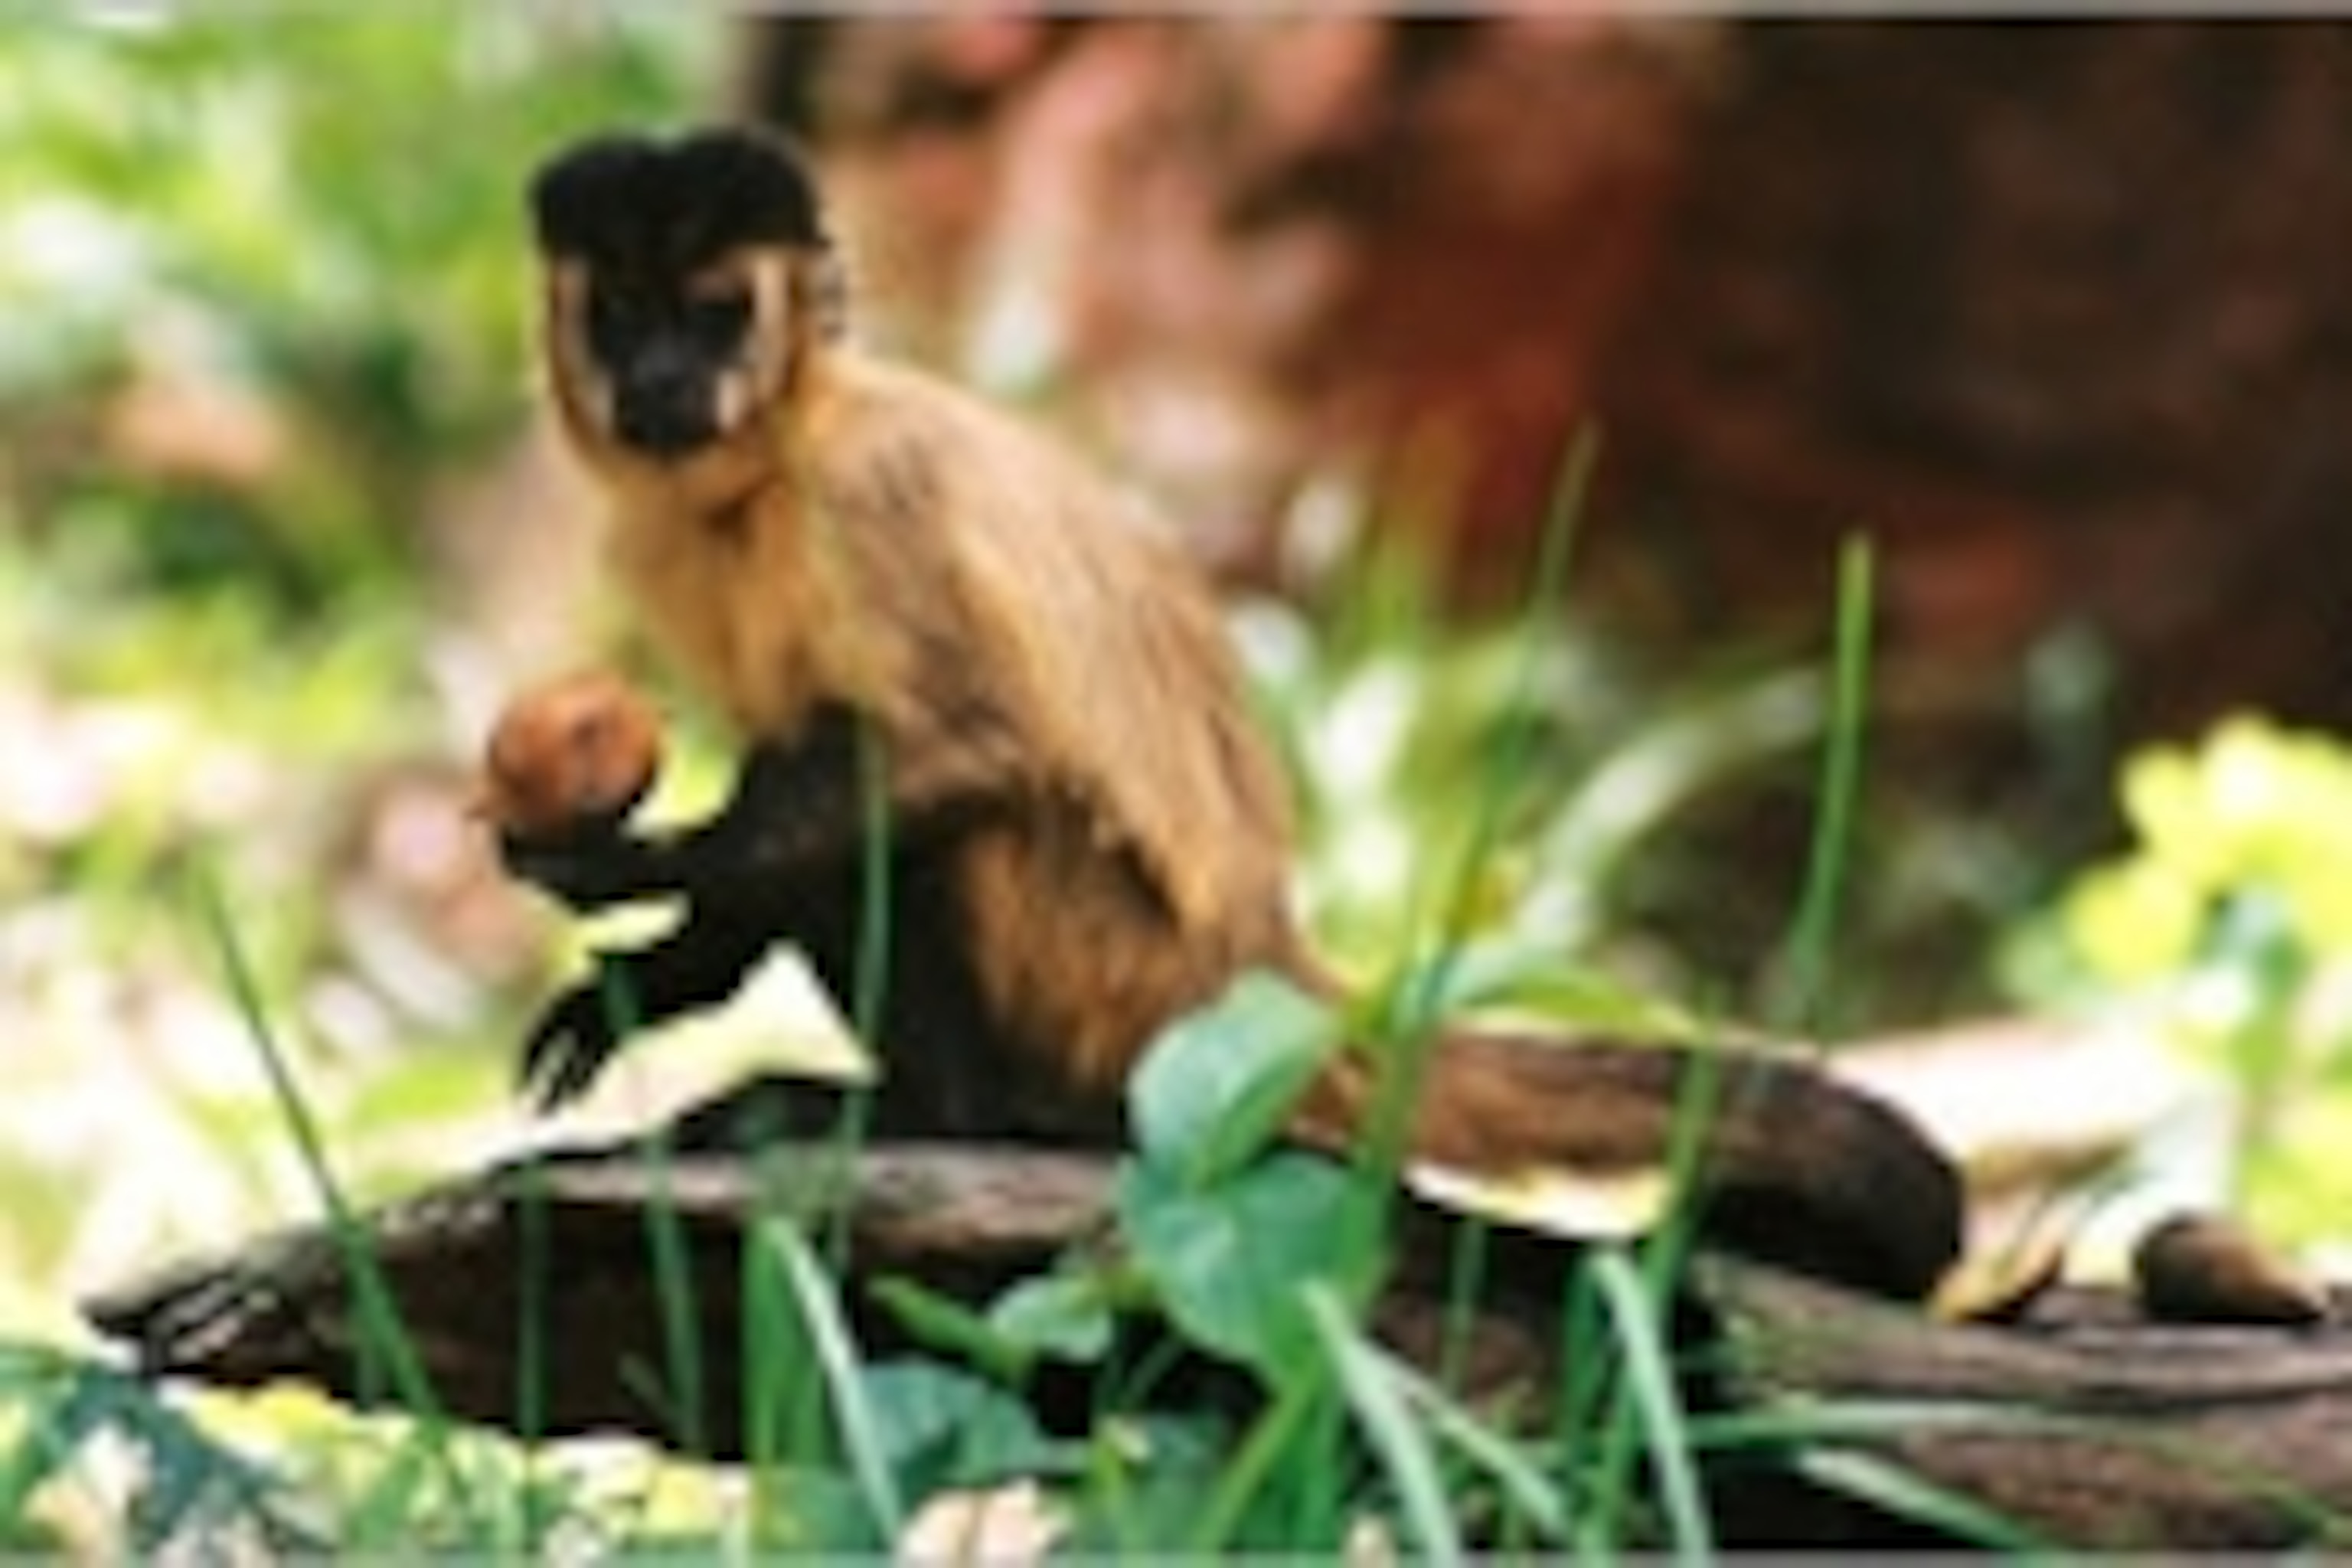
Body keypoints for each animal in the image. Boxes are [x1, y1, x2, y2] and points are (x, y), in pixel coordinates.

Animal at [501, 124, 1964, 1299]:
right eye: (621, 314)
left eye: (714, 313)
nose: (661, 379)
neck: (766, 471)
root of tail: (1261, 964)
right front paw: (637, 985)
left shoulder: (864, 493)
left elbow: (963, 755)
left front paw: (624, 867)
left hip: (1119, 984)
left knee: (938, 811)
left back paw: (956, 1113)